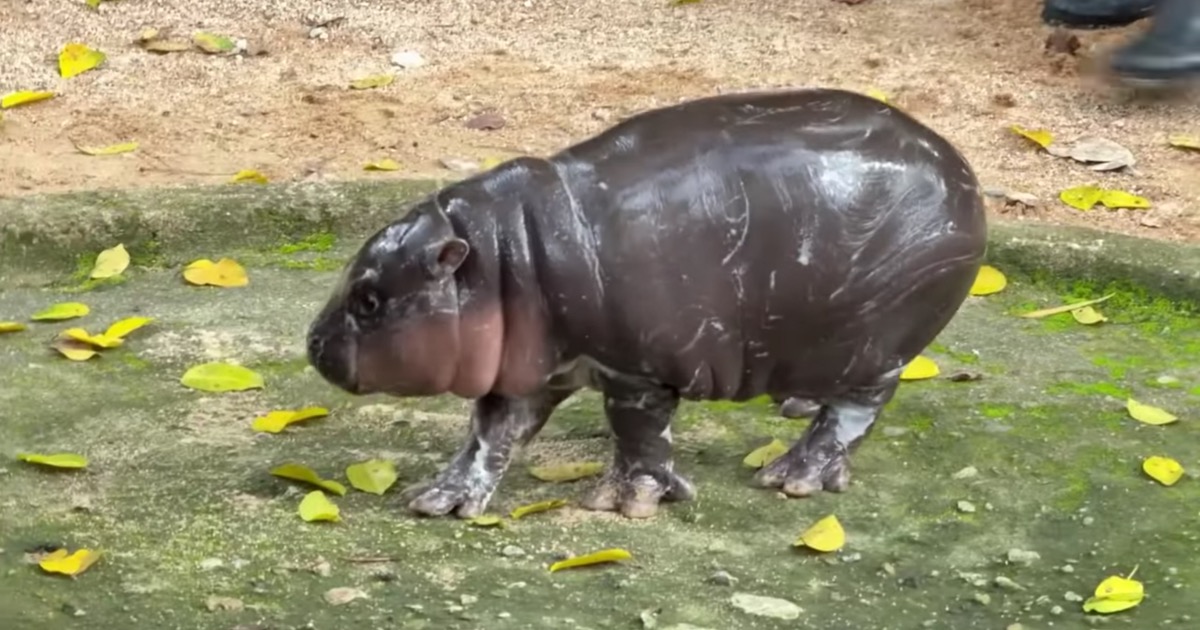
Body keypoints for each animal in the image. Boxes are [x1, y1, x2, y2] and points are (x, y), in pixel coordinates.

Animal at [306, 87, 988, 519]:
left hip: (878, 343)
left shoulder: (636, 370)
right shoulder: (528, 369)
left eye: (369, 300)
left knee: (855, 409)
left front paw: (623, 502)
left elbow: (638, 438)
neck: (504, 254)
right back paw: (794, 406)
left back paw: (792, 478)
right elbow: (489, 434)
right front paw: (439, 499)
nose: (312, 344)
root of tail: (959, 165)